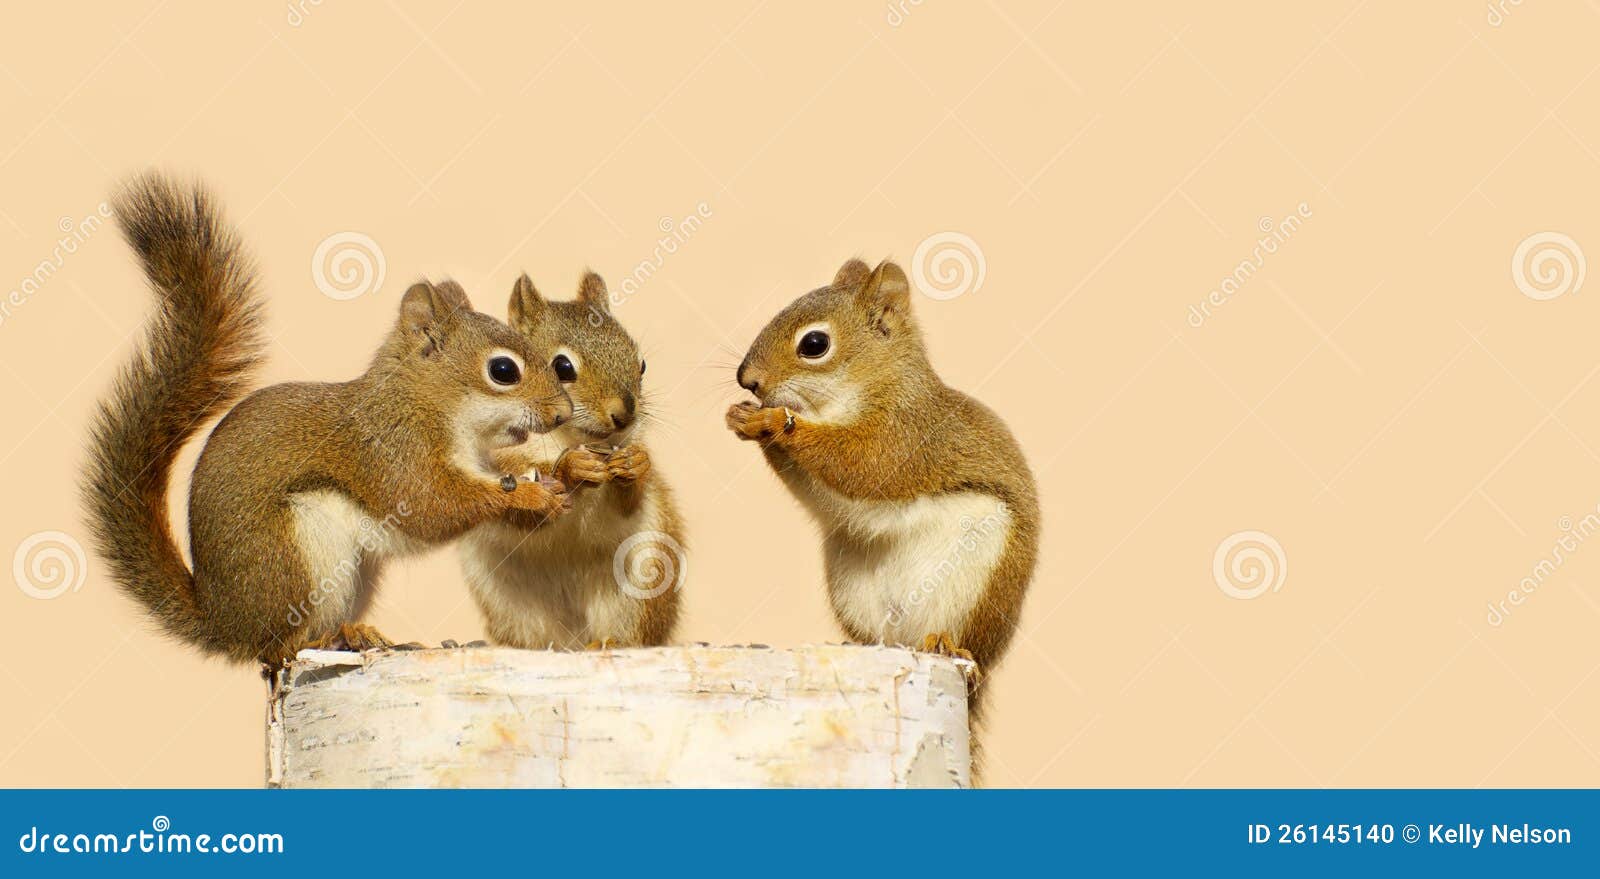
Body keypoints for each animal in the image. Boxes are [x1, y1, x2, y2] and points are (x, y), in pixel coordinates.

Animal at [81, 174, 573, 665]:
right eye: (503, 370)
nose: (564, 413)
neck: (426, 405)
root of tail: (225, 624)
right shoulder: (393, 452)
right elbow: (432, 506)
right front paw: (529, 495)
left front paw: (559, 479)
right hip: (299, 557)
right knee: (280, 649)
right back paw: (338, 638)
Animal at [459, 271, 684, 650]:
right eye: (561, 367)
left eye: (641, 364)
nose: (625, 415)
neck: (574, 440)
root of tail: (575, 641)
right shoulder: (496, 464)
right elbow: (523, 508)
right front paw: (570, 469)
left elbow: (627, 506)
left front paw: (636, 465)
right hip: (508, 600)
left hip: (641, 580)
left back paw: (610, 643)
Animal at [726, 258, 1039, 718]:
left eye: (814, 344)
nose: (747, 380)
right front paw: (743, 416)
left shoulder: (906, 436)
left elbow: (861, 465)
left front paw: (773, 421)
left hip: (978, 583)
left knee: (964, 643)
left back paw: (947, 643)